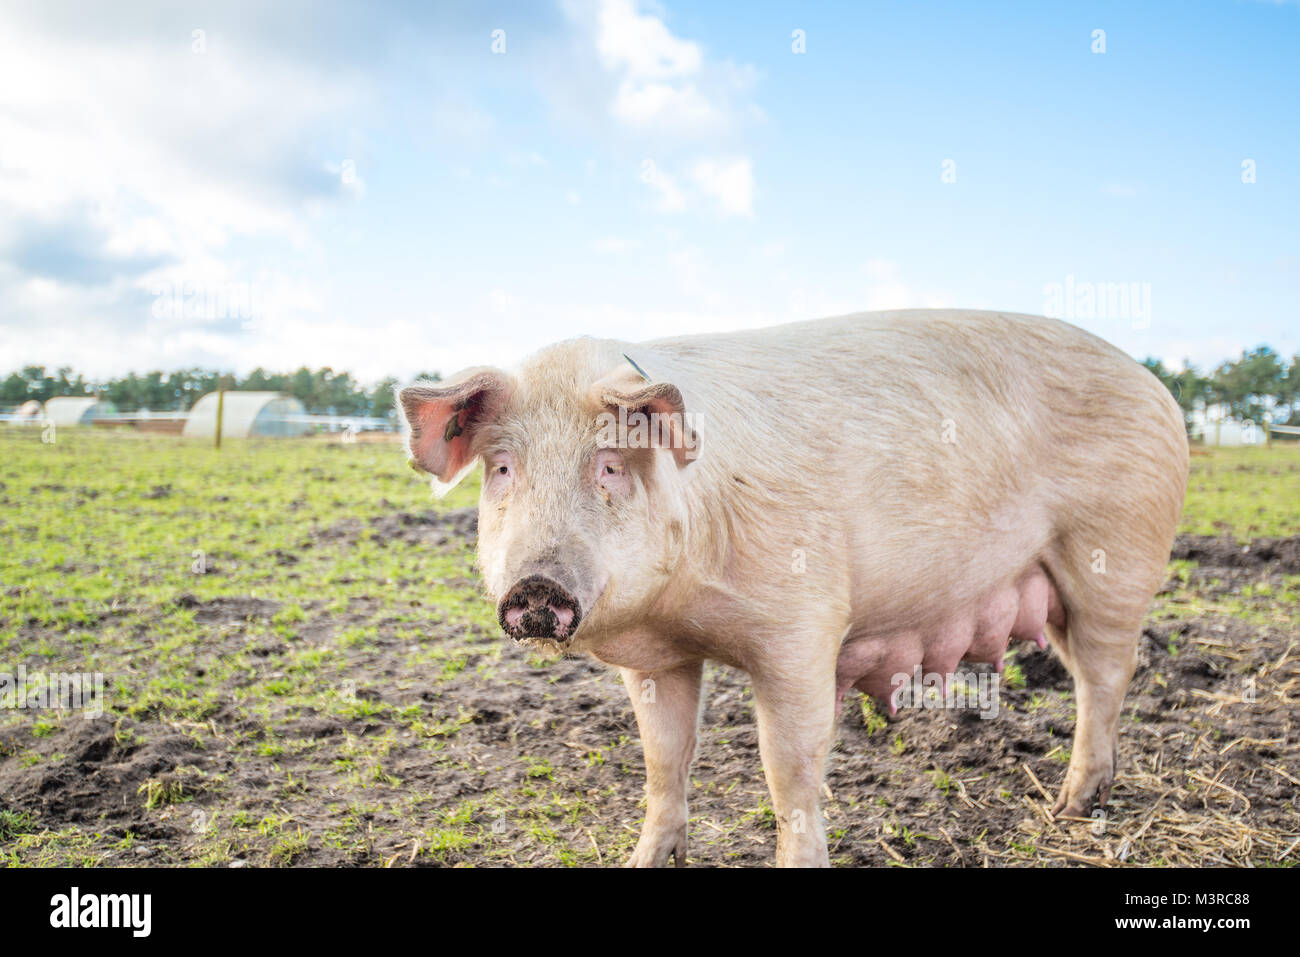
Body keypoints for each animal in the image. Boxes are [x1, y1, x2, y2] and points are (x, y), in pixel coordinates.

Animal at [398, 309, 1188, 867]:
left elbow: (789, 765)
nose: (535, 586)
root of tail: (1156, 385)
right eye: (503, 468)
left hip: (1115, 555)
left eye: (611, 466)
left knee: (1106, 676)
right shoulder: (656, 661)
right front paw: (644, 858)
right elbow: (663, 759)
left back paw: (1072, 807)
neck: (680, 607)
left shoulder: (803, 626)